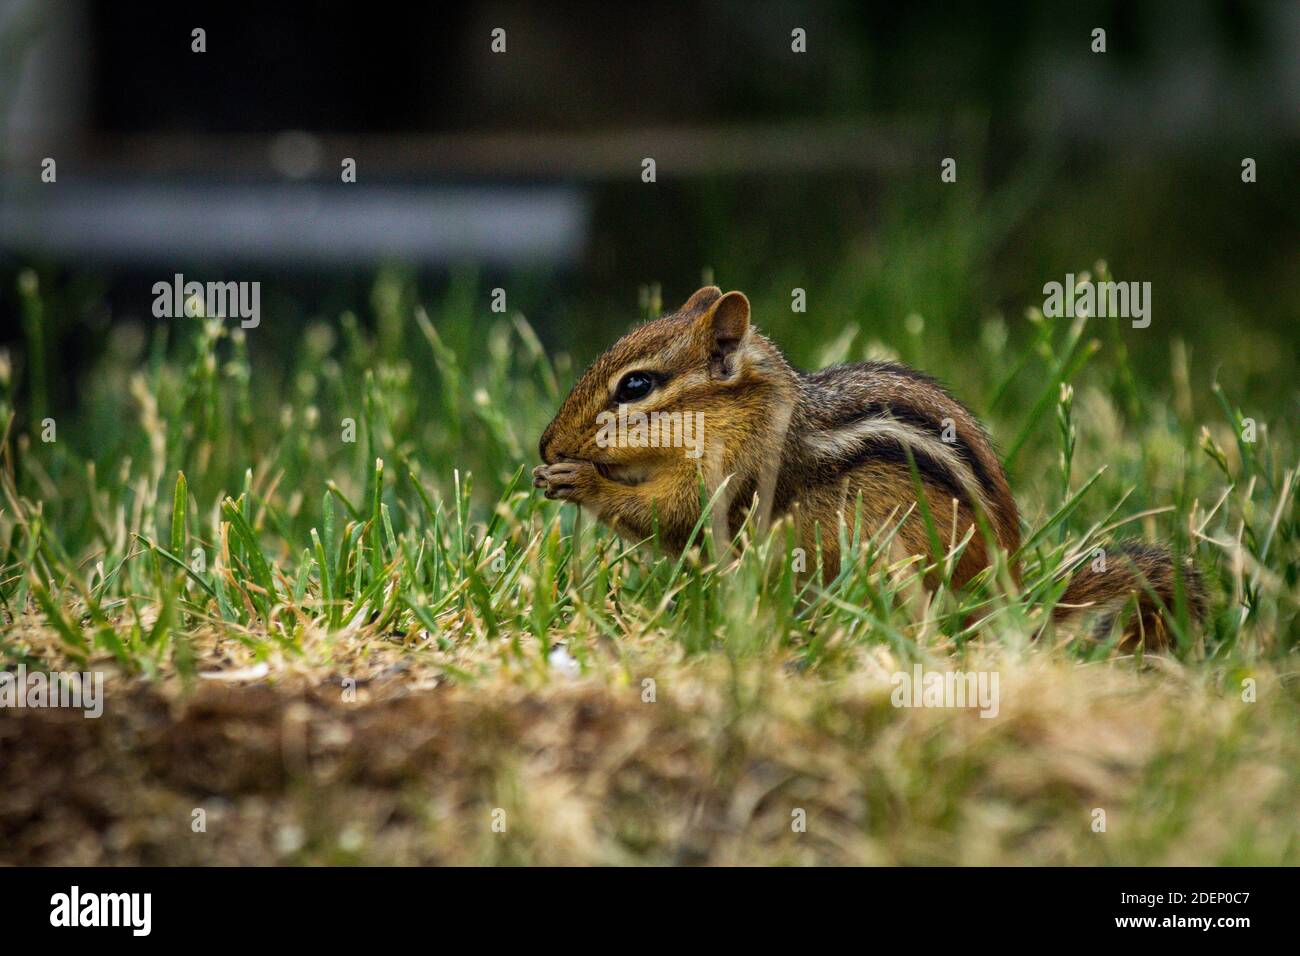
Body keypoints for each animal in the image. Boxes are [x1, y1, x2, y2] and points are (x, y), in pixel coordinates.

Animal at [534, 286, 1207, 648]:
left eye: (636, 386)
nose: (544, 446)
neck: (749, 410)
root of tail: (1011, 594)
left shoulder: (734, 473)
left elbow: (679, 517)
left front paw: (579, 480)